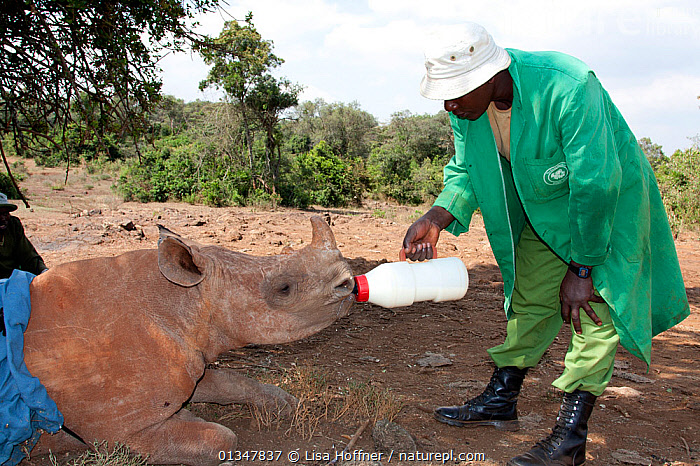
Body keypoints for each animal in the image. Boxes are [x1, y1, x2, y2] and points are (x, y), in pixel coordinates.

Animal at [22, 216, 356, 465]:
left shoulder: (187, 359)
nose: (350, 284)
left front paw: (284, 403)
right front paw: (189, 418)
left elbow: (227, 382)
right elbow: (221, 437)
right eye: (284, 288)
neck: (186, 299)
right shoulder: (122, 431)